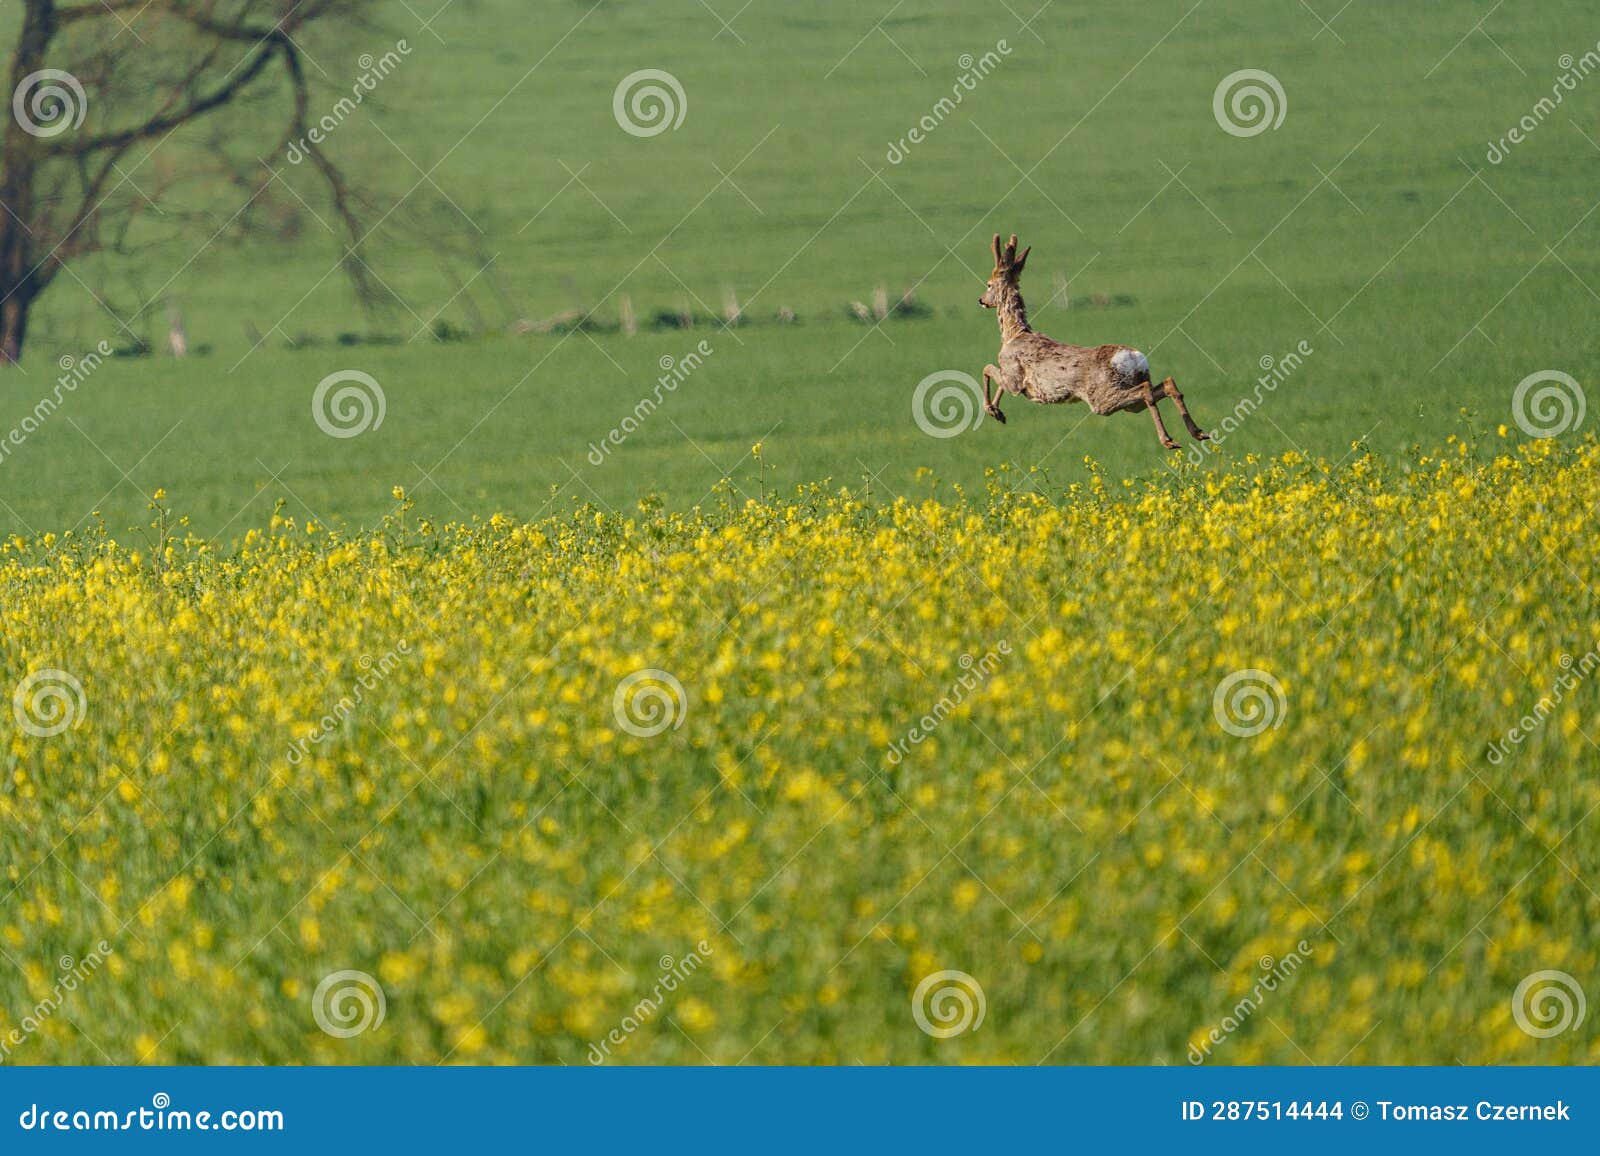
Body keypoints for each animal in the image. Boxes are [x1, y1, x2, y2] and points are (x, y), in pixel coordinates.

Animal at [977, 234, 1211, 450]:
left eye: (988, 284)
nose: (981, 300)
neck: (1013, 334)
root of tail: (1134, 357)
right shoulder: (1012, 378)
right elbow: (992, 372)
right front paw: (998, 412)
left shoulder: (1014, 378)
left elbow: (987, 368)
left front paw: (992, 410)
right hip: (1131, 395)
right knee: (1166, 384)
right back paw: (1198, 433)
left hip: (1101, 398)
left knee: (1146, 391)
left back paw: (1169, 440)